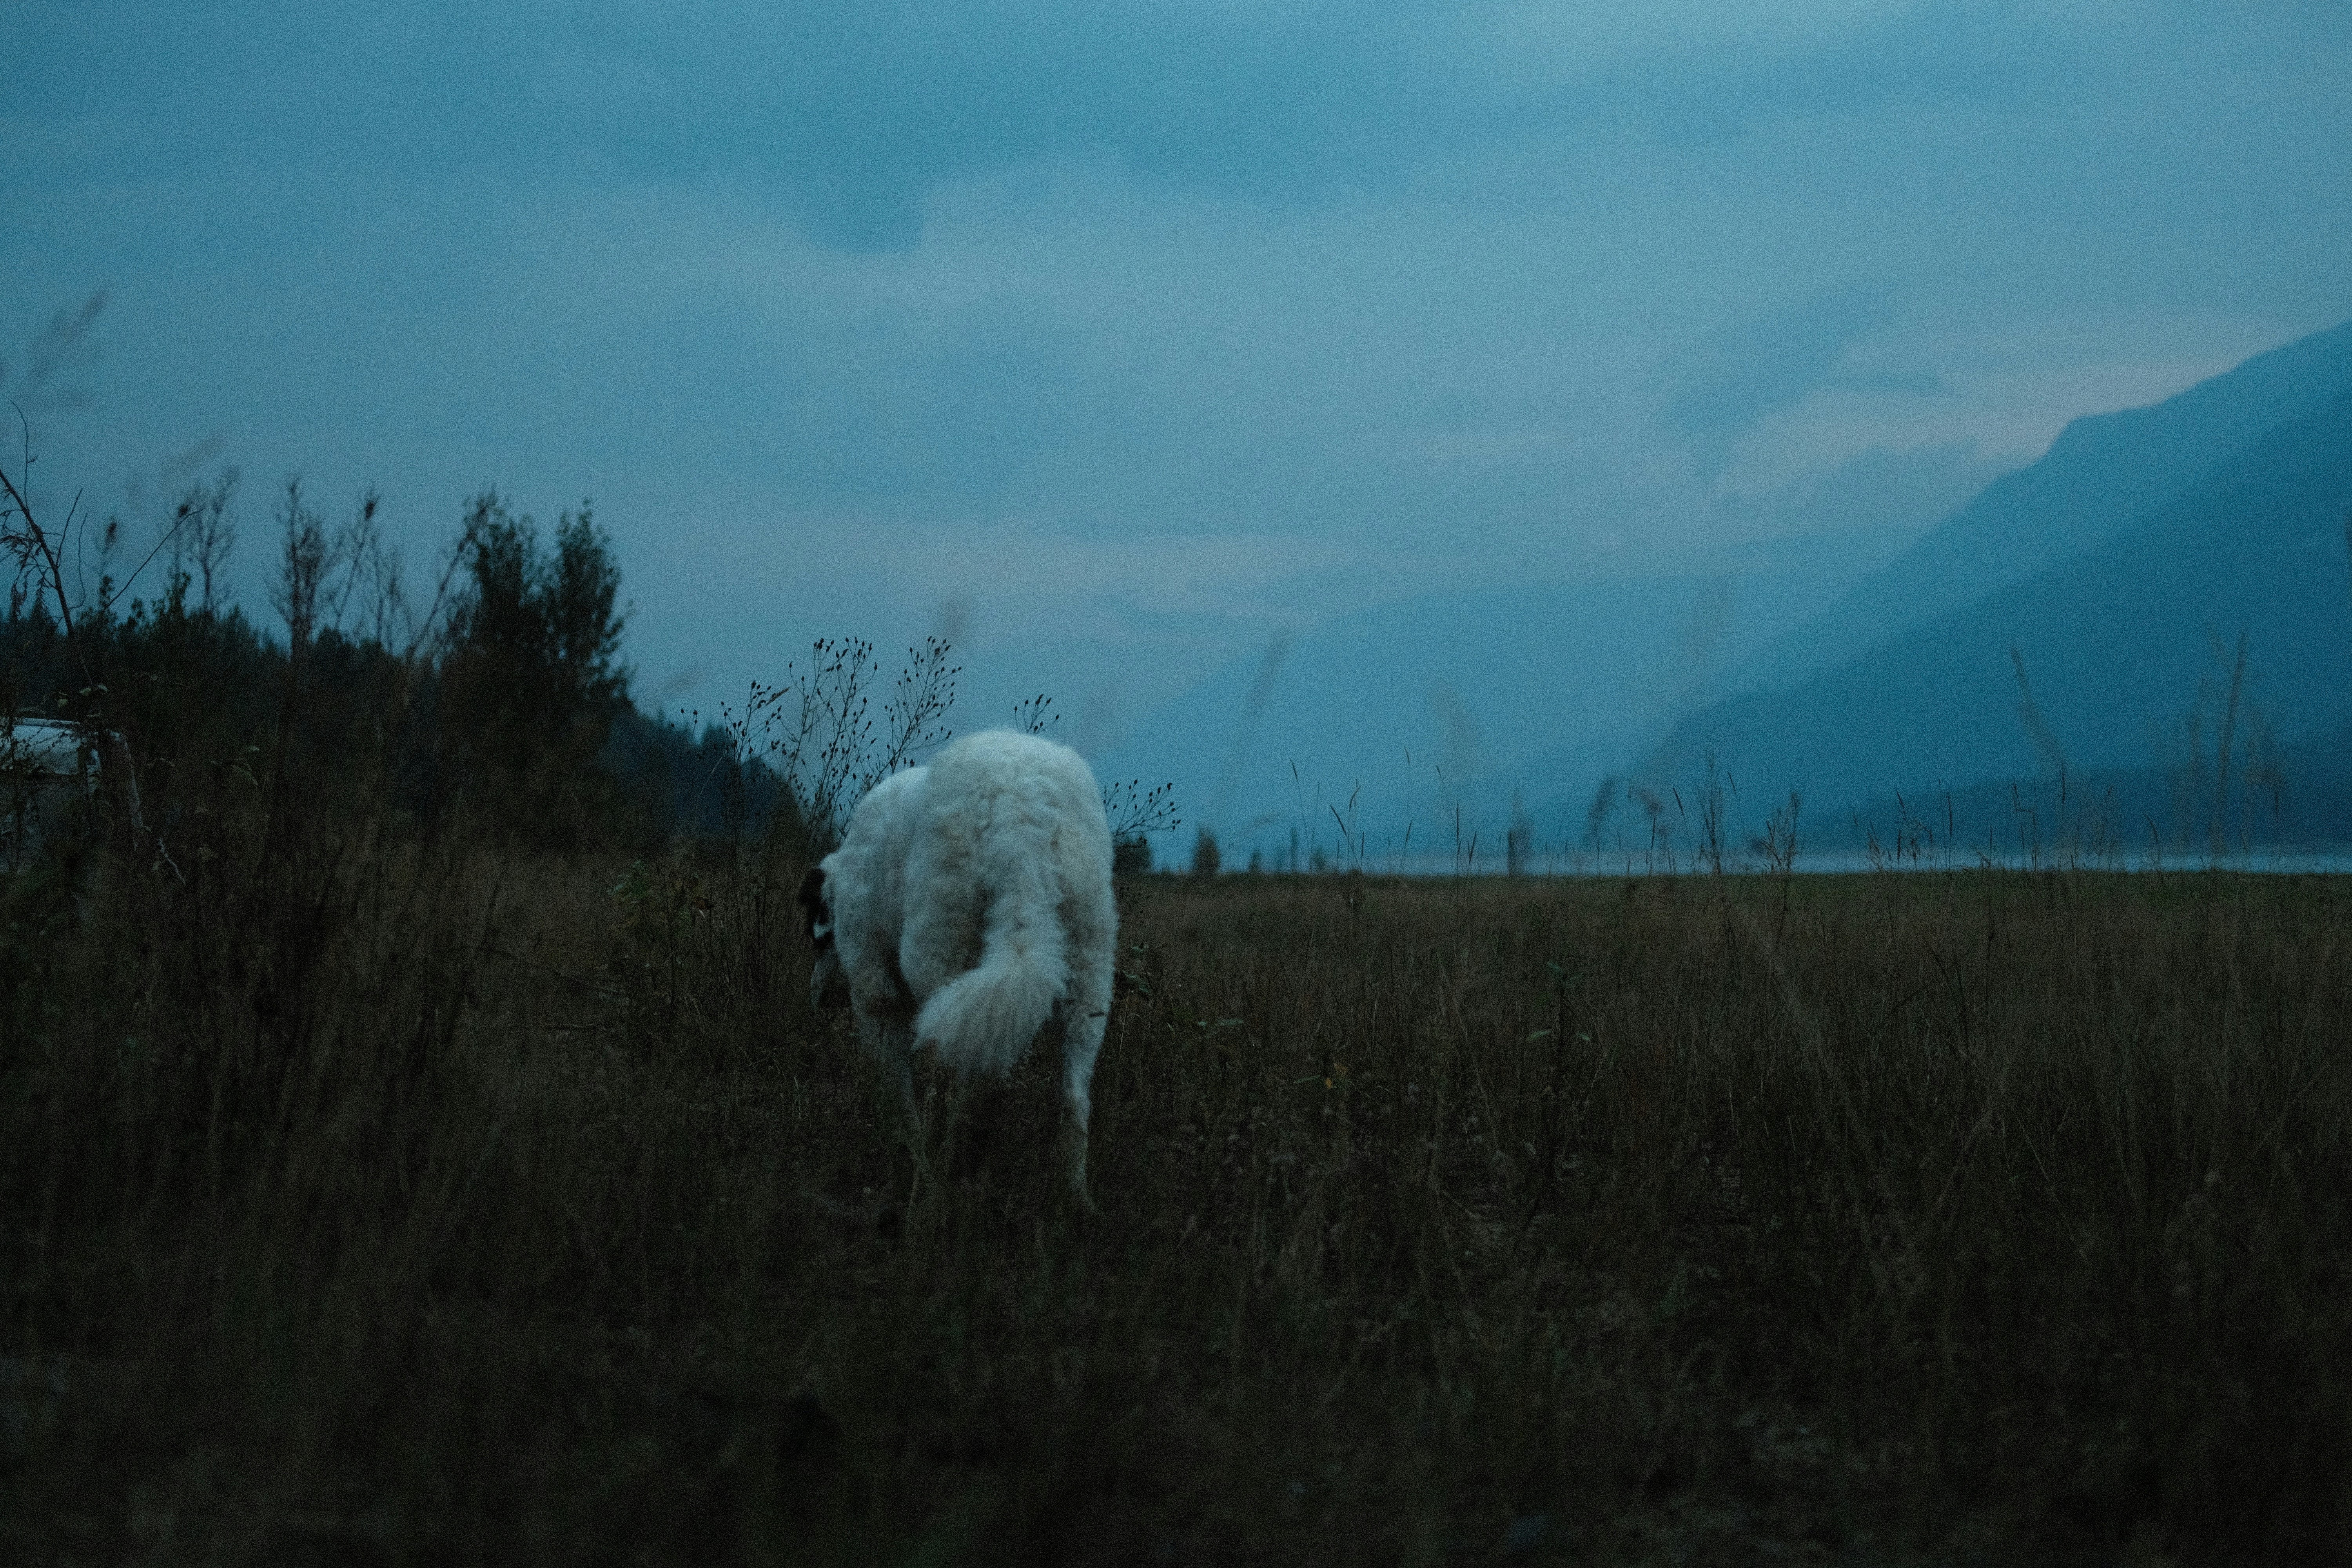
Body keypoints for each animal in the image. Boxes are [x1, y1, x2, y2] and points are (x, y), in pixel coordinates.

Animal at [799, 729, 1118, 1206]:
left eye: (816, 939)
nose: (816, 994)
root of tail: (1021, 811)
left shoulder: (875, 997)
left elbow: (897, 1103)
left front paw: (908, 1181)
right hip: (1089, 966)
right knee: (1073, 1099)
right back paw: (1070, 1201)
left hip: (941, 952)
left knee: (980, 1084)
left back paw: (954, 1180)